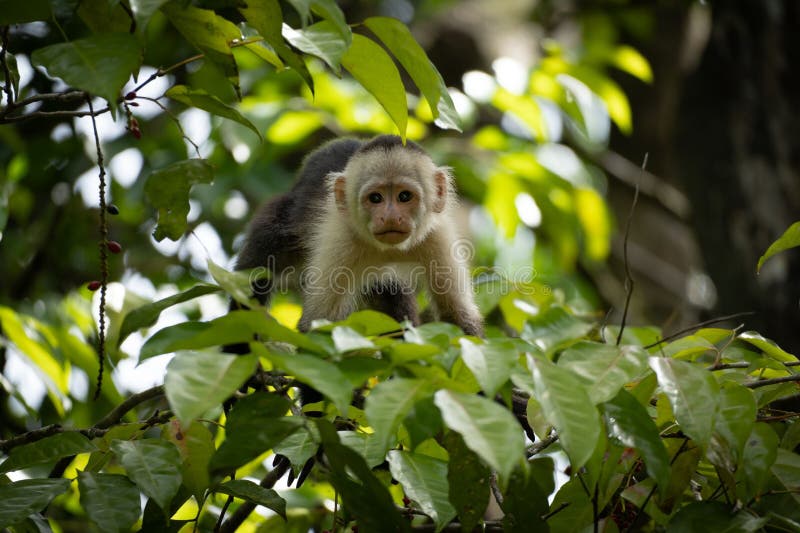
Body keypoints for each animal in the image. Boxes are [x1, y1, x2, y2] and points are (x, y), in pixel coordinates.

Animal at [235, 134, 483, 337]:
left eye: (404, 196)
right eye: (375, 198)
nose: (390, 218)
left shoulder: (437, 236)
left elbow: (460, 318)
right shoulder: (340, 238)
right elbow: (318, 324)